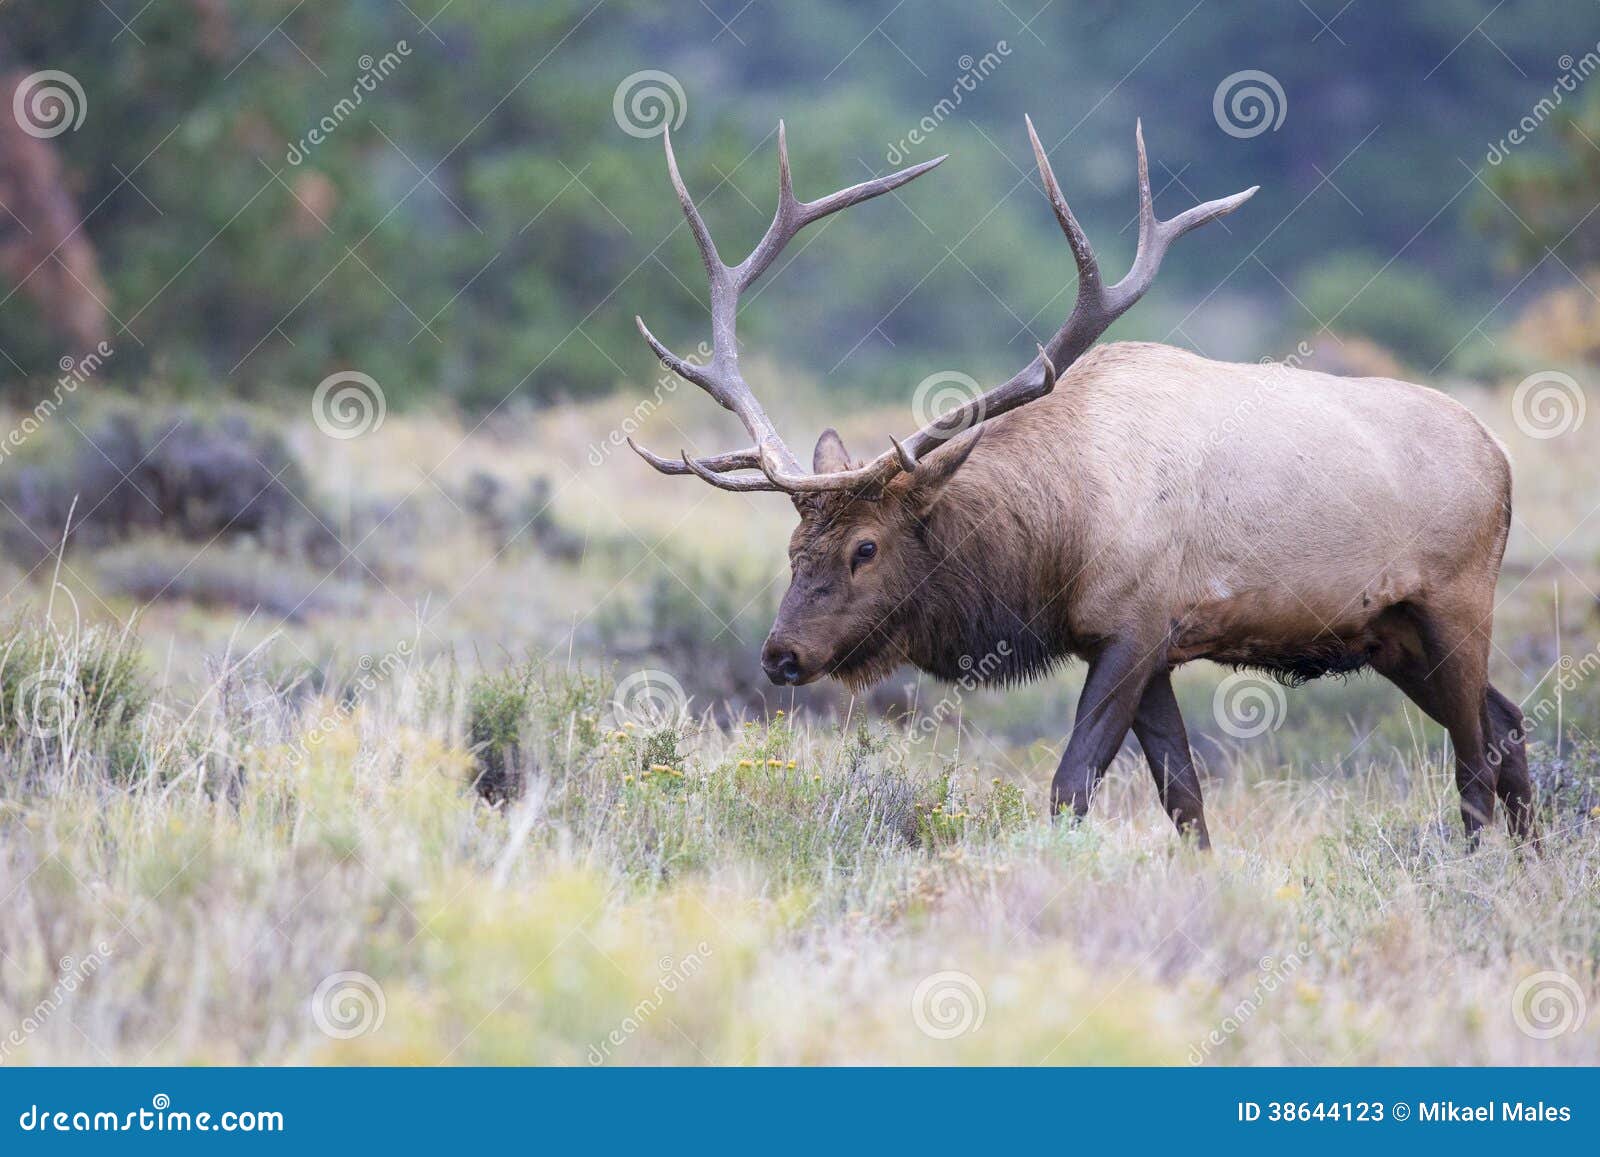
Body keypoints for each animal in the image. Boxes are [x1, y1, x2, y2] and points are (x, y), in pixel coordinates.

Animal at [625, 115, 1536, 851]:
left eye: (866, 547)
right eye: (793, 546)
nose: (781, 654)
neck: (1058, 539)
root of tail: (1502, 461)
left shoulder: (1135, 625)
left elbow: (1071, 786)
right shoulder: (1140, 645)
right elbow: (1184, 794)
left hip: (1456, 600)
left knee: (1473, 754)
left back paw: (1474, 868)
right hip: (1391, 634)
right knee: (1510, 720)